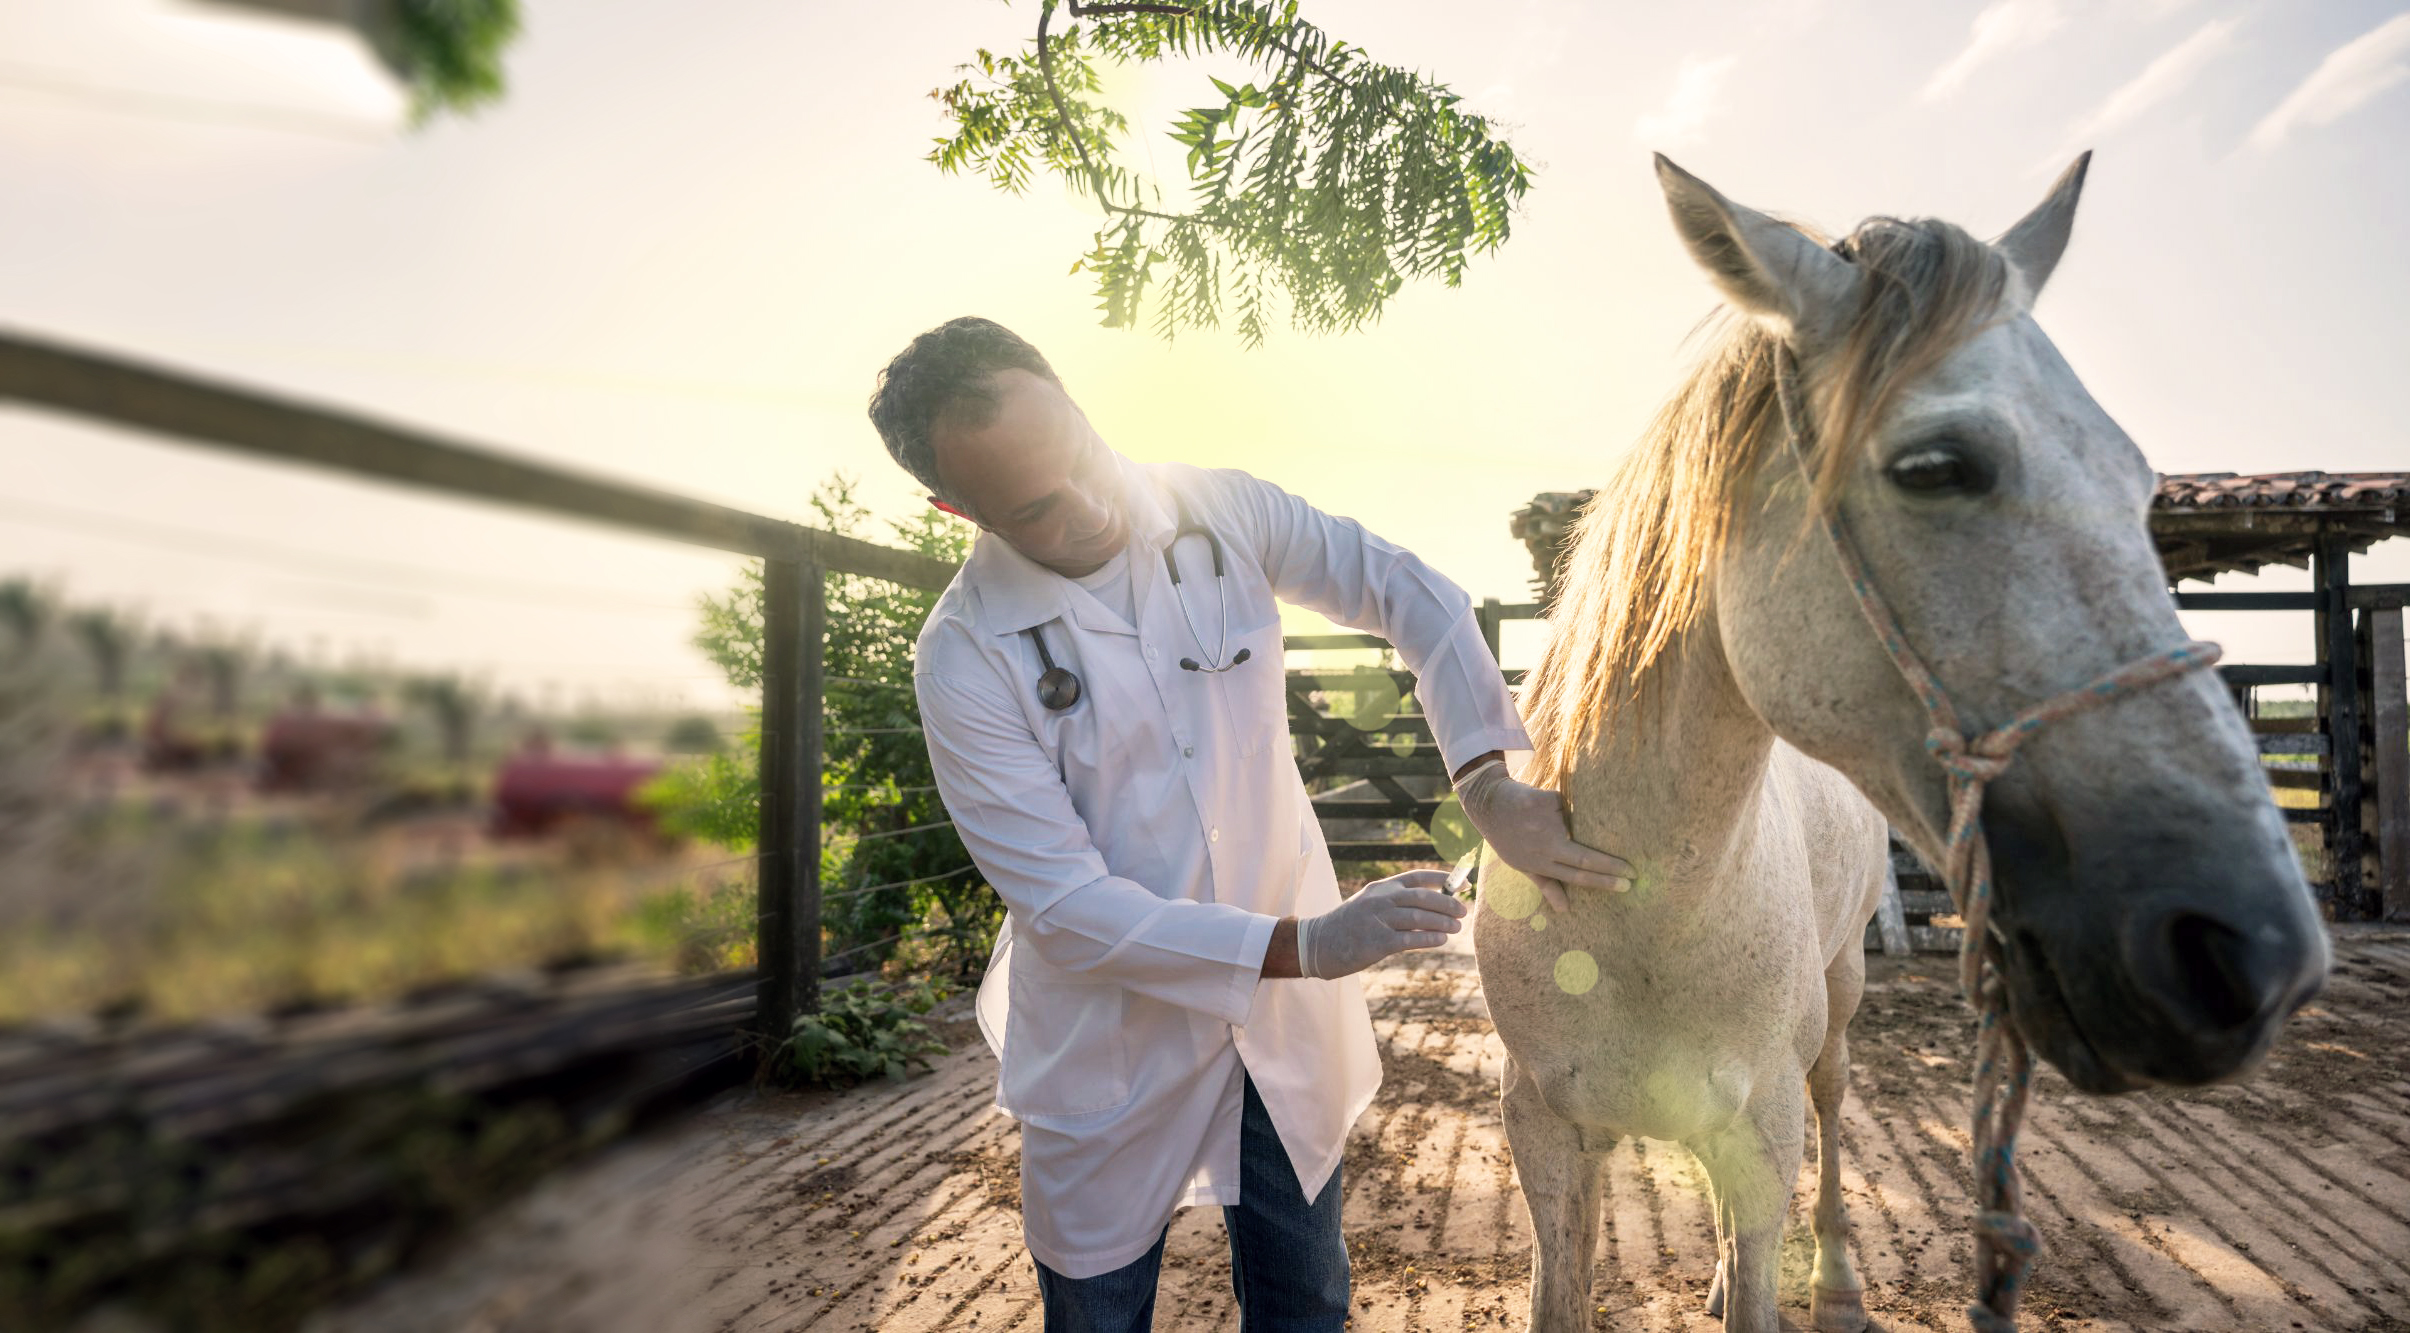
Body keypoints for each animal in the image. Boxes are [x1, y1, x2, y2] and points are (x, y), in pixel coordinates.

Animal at [1473, 154, 2331, 1333]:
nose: (2257, 952)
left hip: (1832, 1017)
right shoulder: (1545, 1136)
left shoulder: (1762, 1132)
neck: (1633, 904)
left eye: (2138, 483)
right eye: (1935, 466)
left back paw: (1834, 1282)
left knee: (1833, 1117)